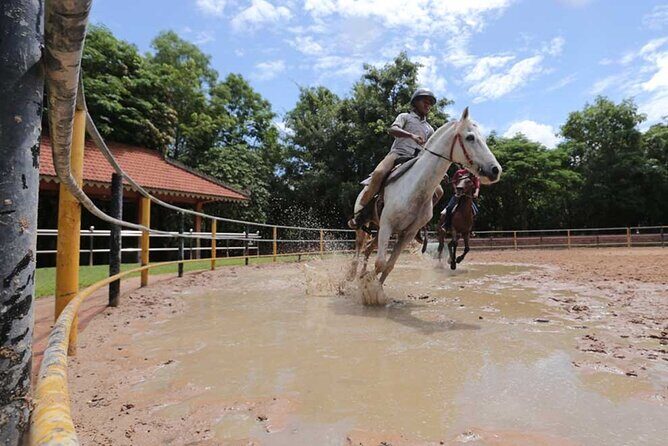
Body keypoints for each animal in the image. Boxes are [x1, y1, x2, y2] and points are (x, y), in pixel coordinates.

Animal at [347, 107, 502, 304]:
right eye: (470, 137)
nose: (495, 170)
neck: (415, 188)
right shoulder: (388, 225)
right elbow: (381, 263)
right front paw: (368, 287)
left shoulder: (407, 233)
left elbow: (389, 265)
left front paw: (374, 290)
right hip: (364, 225)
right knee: (359, 248)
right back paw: (349, 277)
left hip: (380, 229)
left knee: (368, 249)